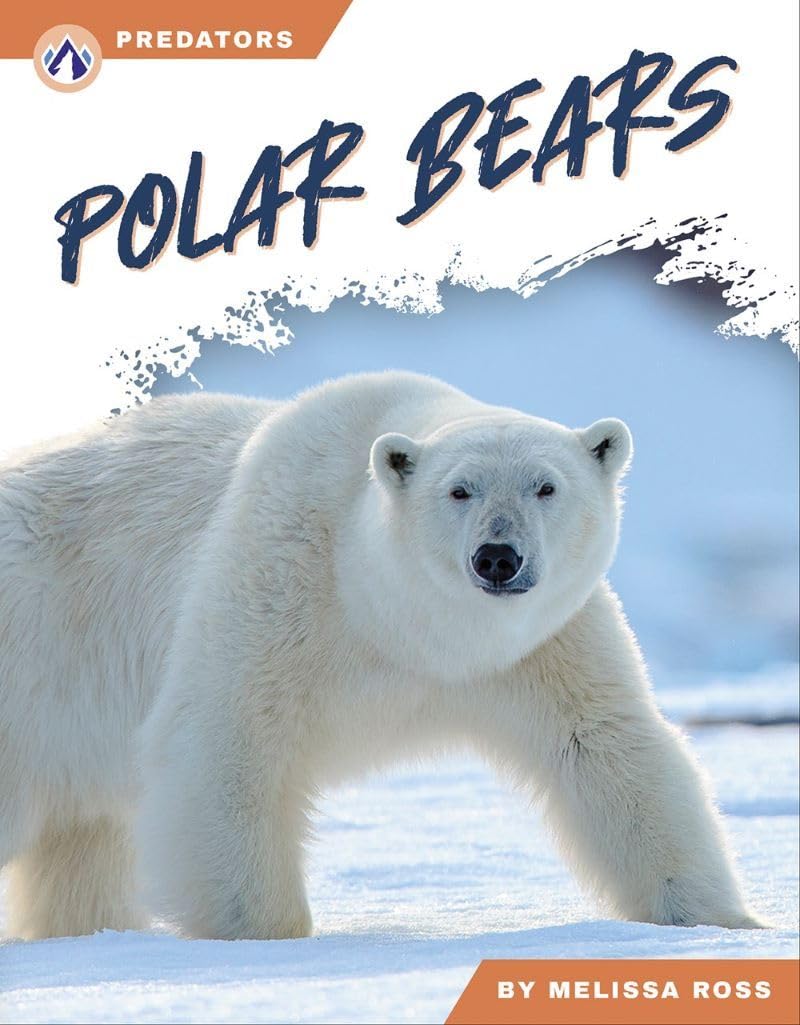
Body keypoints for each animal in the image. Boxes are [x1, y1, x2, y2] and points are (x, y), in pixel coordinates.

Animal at [0, 370, 761, 940]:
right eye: (459, 489)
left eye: (547, 485)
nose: (498, 557)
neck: (397, 622)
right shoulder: (276, 581)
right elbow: (228, 741)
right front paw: (266, 933)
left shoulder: (540, 645)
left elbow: (606, 747)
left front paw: (721, 920)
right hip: (38, 660)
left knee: (84, 839)